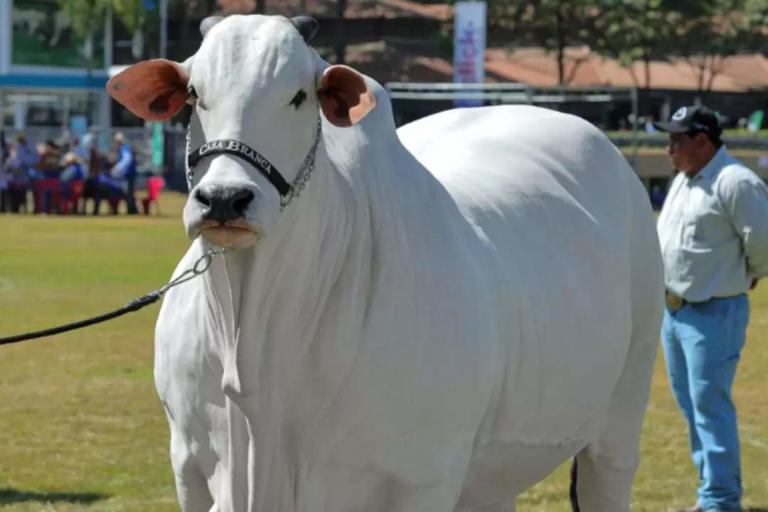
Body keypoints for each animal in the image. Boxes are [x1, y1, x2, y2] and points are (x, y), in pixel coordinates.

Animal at [107, 14, 663, 512]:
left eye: (299, 96)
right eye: (195, 94)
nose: (224, 198)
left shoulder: (423, 477)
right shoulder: (189, 469)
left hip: (621, 418)